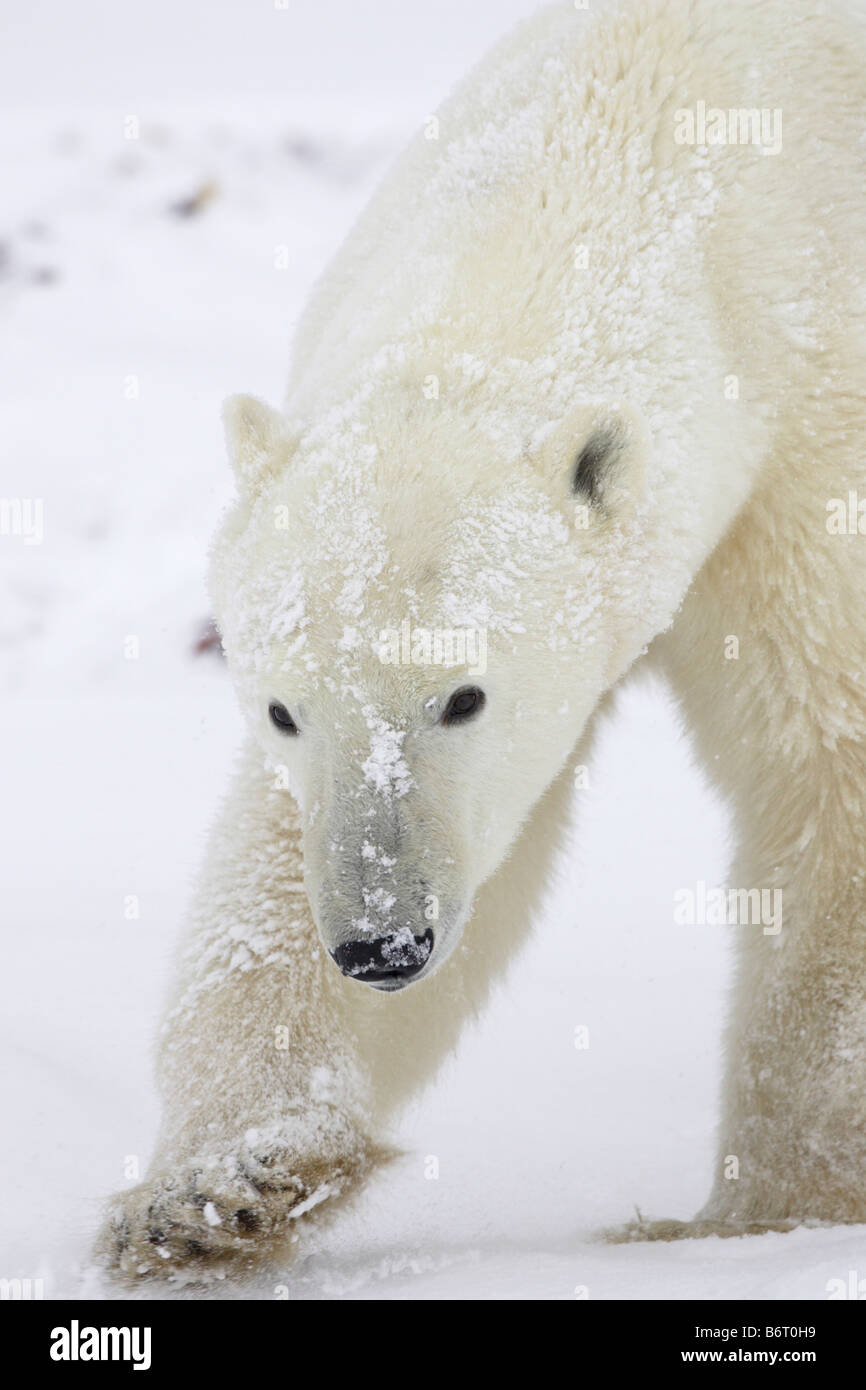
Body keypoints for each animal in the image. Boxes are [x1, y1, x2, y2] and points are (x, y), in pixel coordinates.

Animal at [99, 0, 866, 1277]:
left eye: (461, 696)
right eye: (281, 706)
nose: (380, 942)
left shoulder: (805, 452)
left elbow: (821, 771)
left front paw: (752, 1215)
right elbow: (276, 861)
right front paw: (220, 1188)